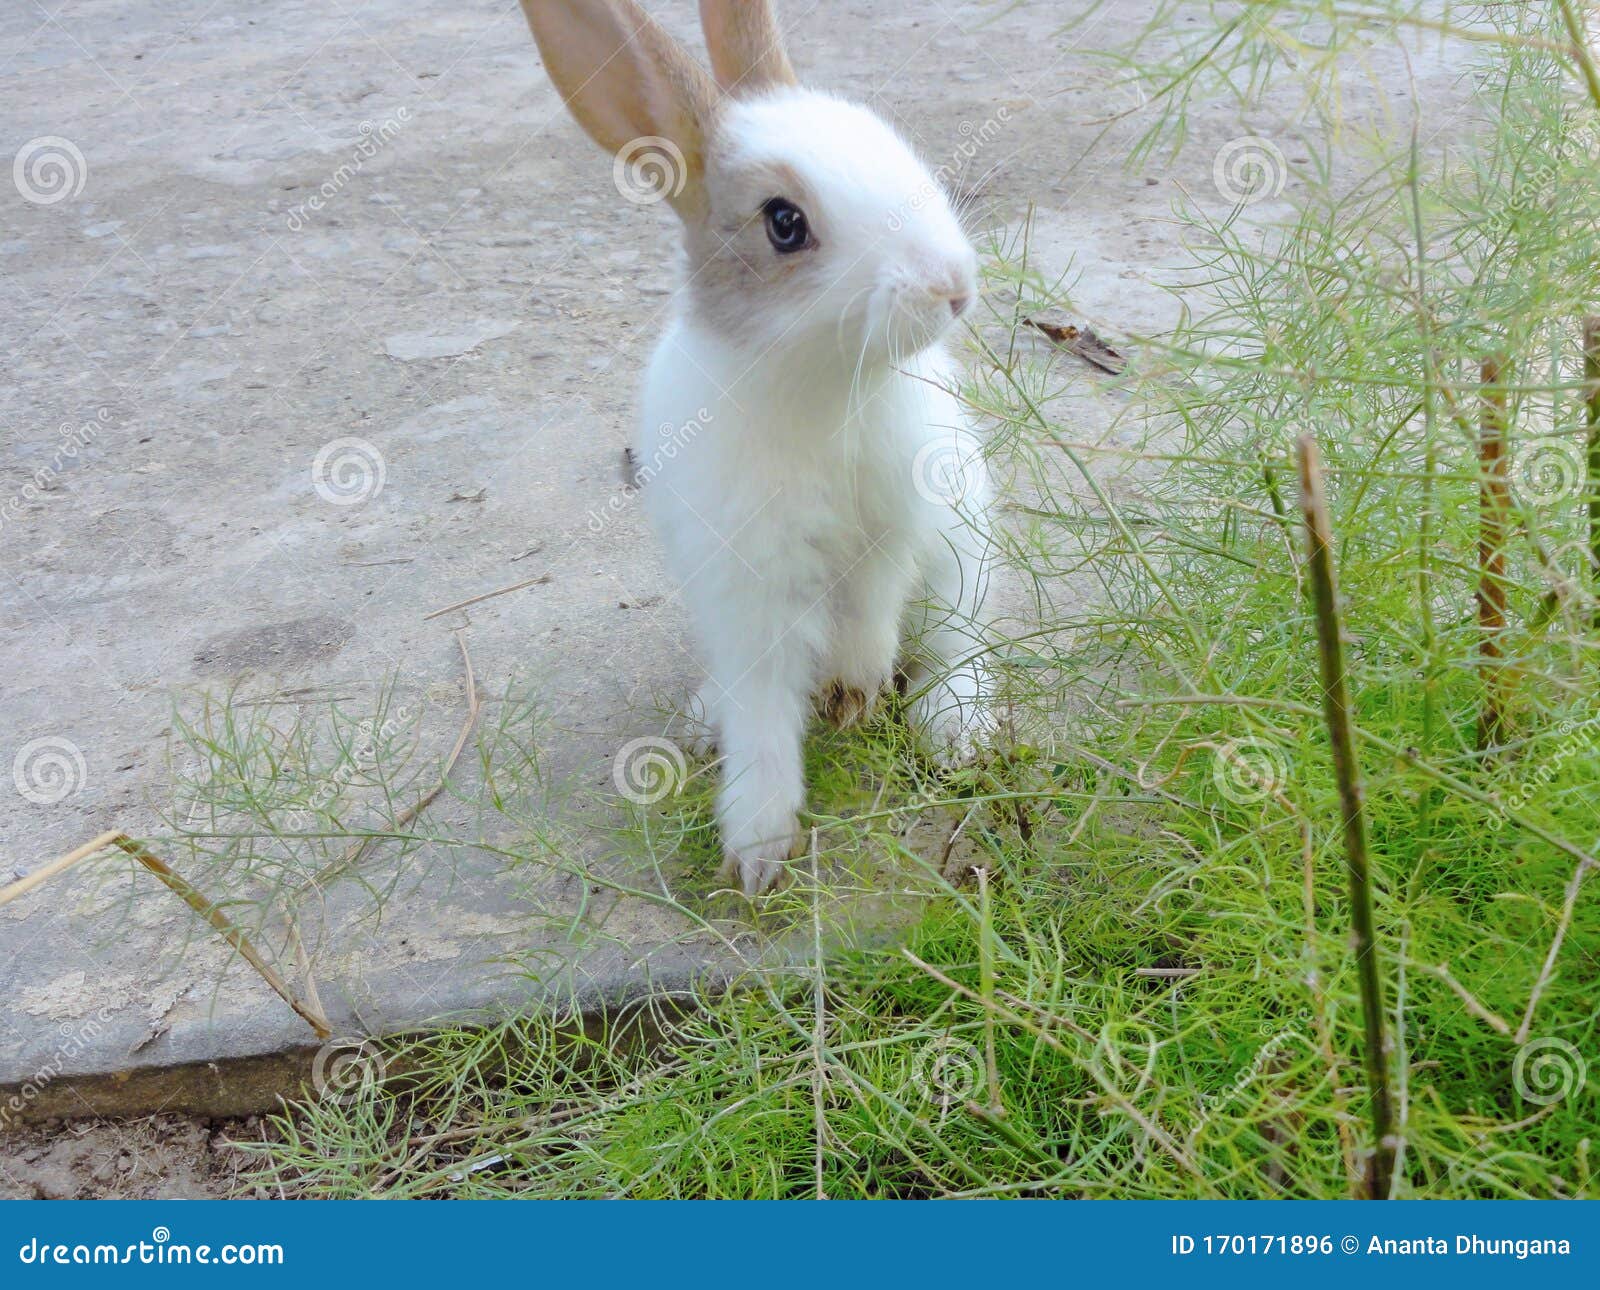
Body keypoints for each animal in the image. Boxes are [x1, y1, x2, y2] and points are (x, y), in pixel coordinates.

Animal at [520, 0, 996, 895]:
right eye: (784, 222)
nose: (952, 286)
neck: (824, 384)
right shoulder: (752, 582)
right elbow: (767, 712)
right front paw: (757, 854)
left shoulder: (896, 528)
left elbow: (873, 612)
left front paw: (857, 690)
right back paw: (708, 721)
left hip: (964, 552)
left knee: (963, 640)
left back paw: (958, 731)